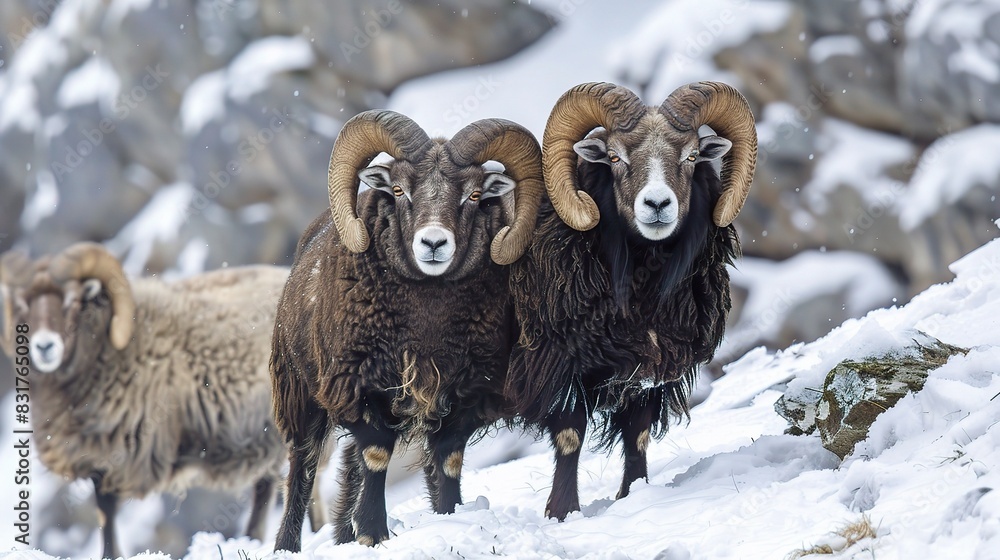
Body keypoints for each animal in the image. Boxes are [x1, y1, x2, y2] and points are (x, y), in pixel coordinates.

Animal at [0, 243, 326, 559]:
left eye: (74, 301)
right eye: (22, 304)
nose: (44, 347)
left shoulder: (119, 450)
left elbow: (107, 510)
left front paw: (111, 555)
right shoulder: (97, 457)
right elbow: (103, 512)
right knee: (274, 488)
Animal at [270, 110, 543, 551]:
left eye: (473, 195)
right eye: (398, 189)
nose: (433, 244)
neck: (425, 327)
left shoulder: (463, 396)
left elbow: (448, 462)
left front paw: (450, 517)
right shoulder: (361, 389)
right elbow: (376, 457)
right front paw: (373, 534)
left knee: (349, 464)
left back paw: (342, 534)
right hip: (302, 395)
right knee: (303, 469)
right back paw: (287, 545)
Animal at [505, 81, 757, 520]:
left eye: (692, 155)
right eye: (614, 157)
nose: (657, 205)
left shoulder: (648, 376)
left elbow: (637, 436)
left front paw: (633, 496)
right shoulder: (560, 367)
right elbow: (570, 437)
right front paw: (562, 513)